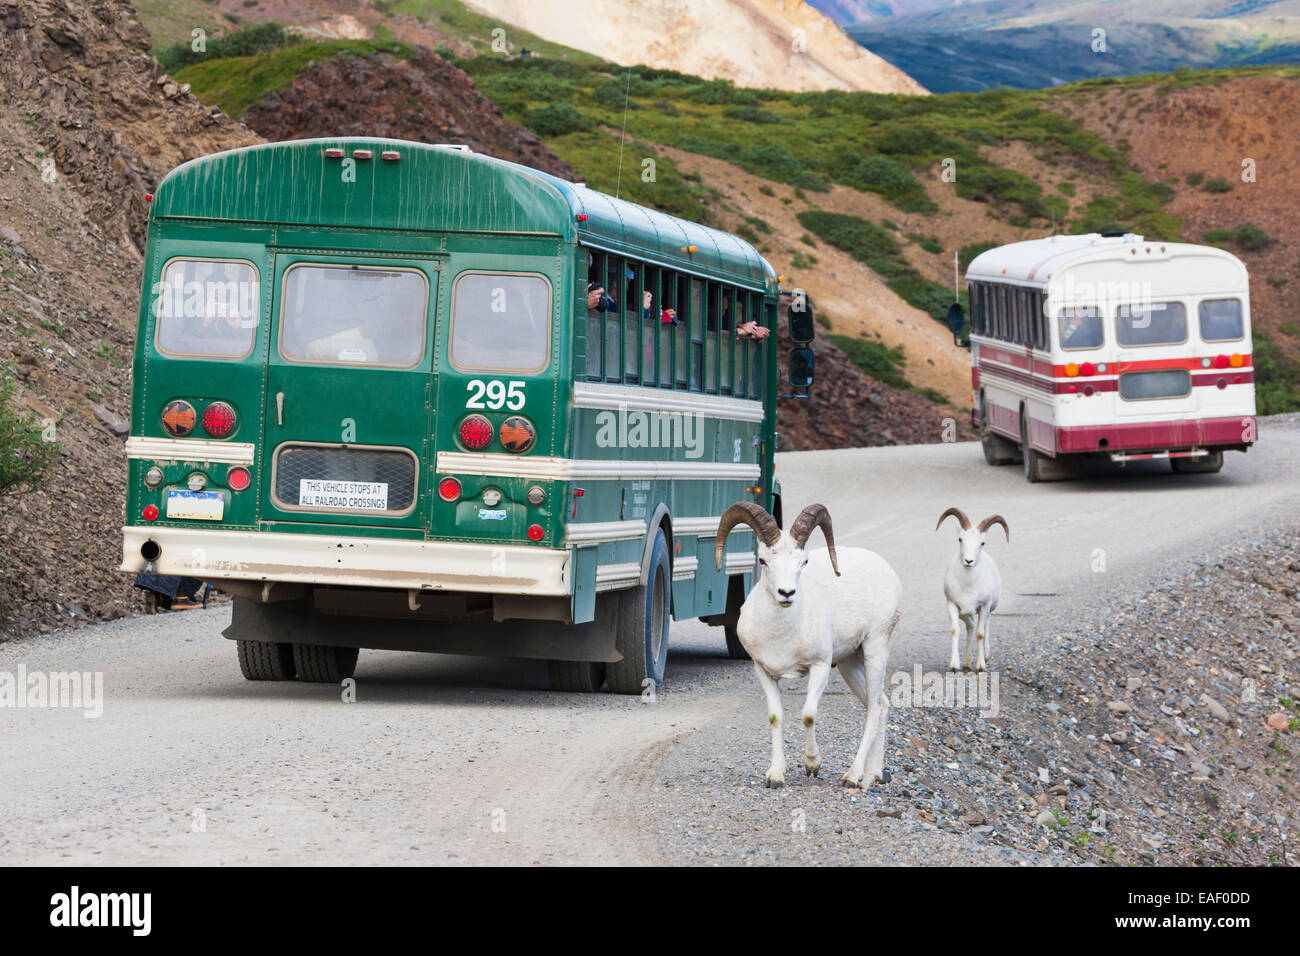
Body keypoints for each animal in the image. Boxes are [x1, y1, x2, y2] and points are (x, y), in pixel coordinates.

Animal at [715, 502, 902, 790]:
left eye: (803, 562)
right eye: (763, 561)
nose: (786, 594)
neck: (782, 635)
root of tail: (887, 570)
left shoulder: (820, 667)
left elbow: (808, 715)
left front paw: (812, 765)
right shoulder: (764, 672)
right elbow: (775, 717)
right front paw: (775, 776)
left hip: (876, 648)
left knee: (874, 709)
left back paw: (852, 777)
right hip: (850, 664)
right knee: (881, 704)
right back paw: (872, 775)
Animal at [936, 507, 1009, 673]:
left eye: (982, 543)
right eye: (960, 539)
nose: (968, 561)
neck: (968, 588)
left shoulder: (984, 606)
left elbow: (980, 634)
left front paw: (981, 666)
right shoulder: (952, 605)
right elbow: (955, 630)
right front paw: (954, 665)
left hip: (988, 609)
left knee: (985, 624)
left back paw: (985, 655)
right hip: (965, 614)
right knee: (970, 628)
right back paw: (967, 663)